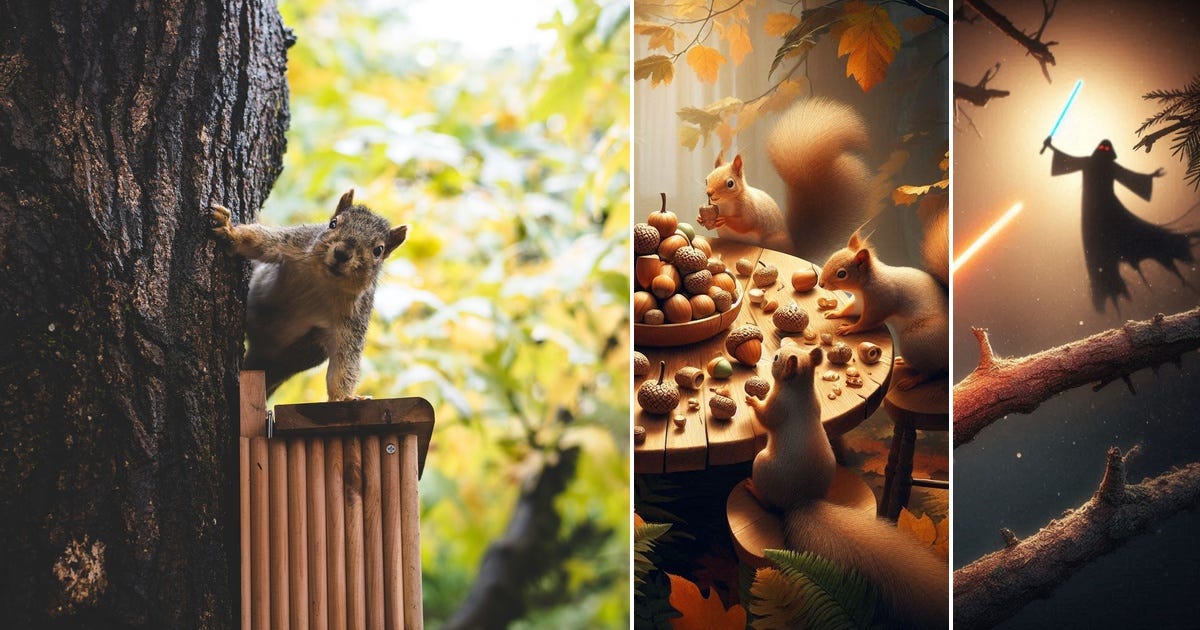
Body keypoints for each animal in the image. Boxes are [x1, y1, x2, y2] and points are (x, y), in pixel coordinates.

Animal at [210, 189, 408, 400]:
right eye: (333, 223)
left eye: (378, 250)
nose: (342, 253)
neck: (324, 281)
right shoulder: (294, 243)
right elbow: (259, 241)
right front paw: (229, 229)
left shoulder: (354, 318)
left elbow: (345, 360)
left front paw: (344, 397)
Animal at [697, 98, 872, 259]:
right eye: (706, 179)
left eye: (730, 183)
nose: (709, 193)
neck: (725, 203)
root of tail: (794, 250)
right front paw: (700, 218)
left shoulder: (750, 210)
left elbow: (745, 224)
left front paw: (724, 219)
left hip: (774, 241)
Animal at [745, 340, 948, 628]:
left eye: (776, 358)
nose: (777, 348)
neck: (800, 390)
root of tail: (801, 500)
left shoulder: (778, 405)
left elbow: (765, 417)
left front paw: (752, 400)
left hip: (761, 465)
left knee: (769, 504)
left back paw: (753, 490)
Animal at [818, 228, 948, 391]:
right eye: (831, 257)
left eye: (842, 274)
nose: (821, 283)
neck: (865, 284)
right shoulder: (860, 303)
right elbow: (851, 309)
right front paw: (835, 313)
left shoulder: (880, 300)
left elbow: (867, 321)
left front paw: (850, 328)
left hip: (916, 341)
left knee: (931, 371)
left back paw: (911, 380)